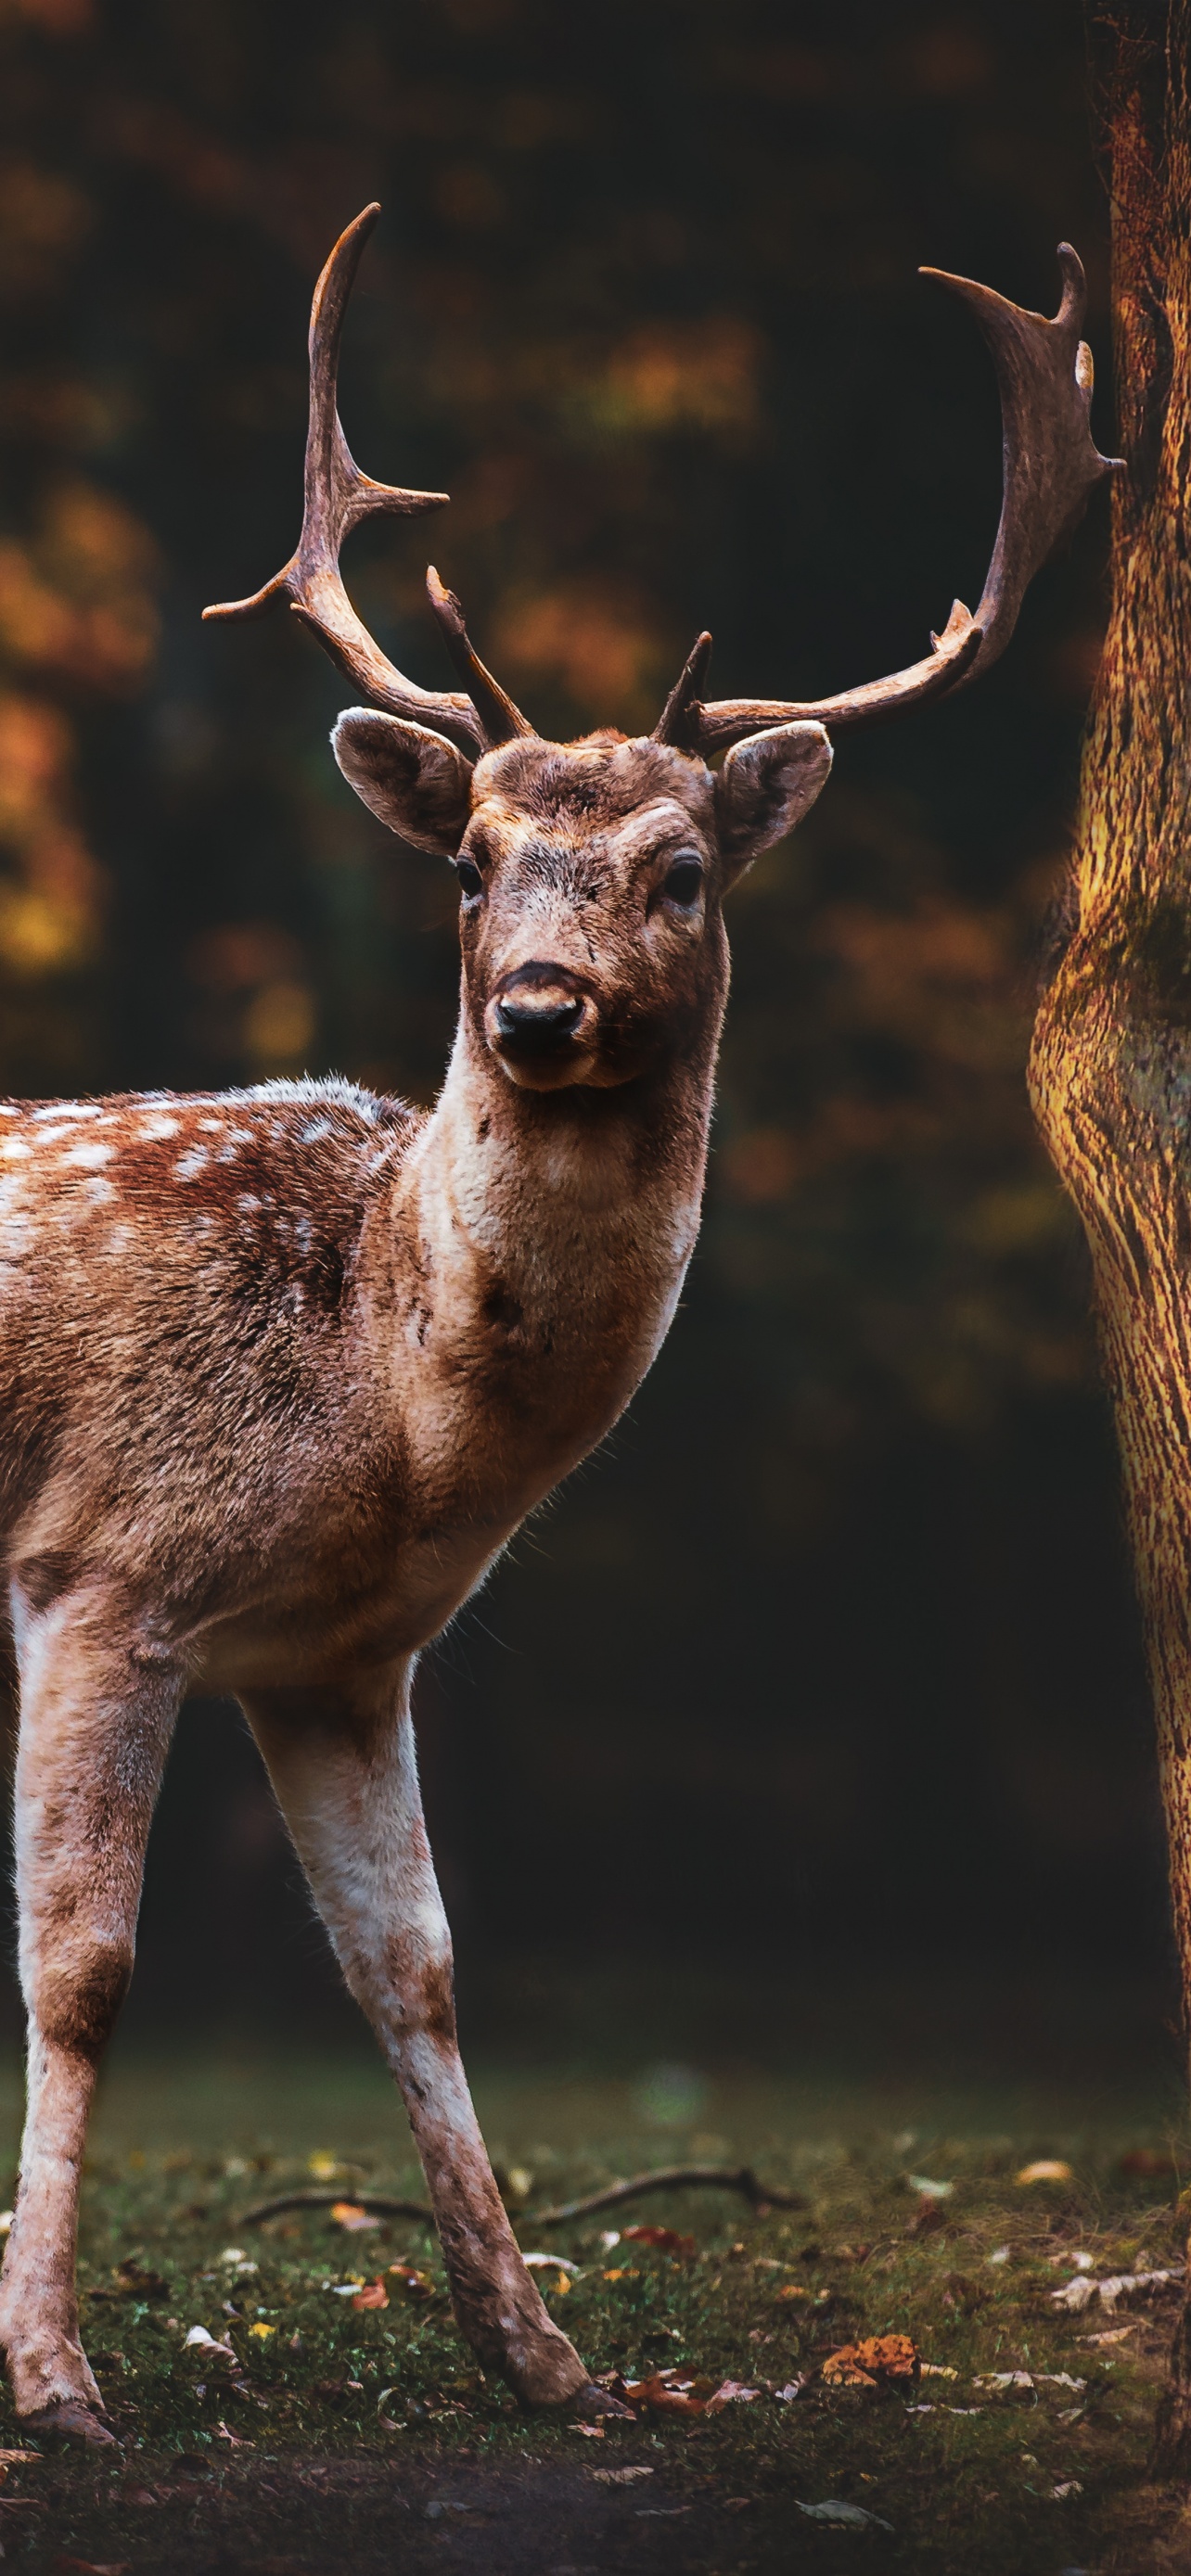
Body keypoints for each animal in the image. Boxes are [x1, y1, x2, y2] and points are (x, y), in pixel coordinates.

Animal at [0, 205, 1116, 2442]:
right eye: (471, 864)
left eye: (681, 871)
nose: (532, 1004)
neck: (382, 1401)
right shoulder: (99, 1564)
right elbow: (81, 1976)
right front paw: (55, 2379)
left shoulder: (337, 1656)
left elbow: (417, 1968)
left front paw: (545, 2355)